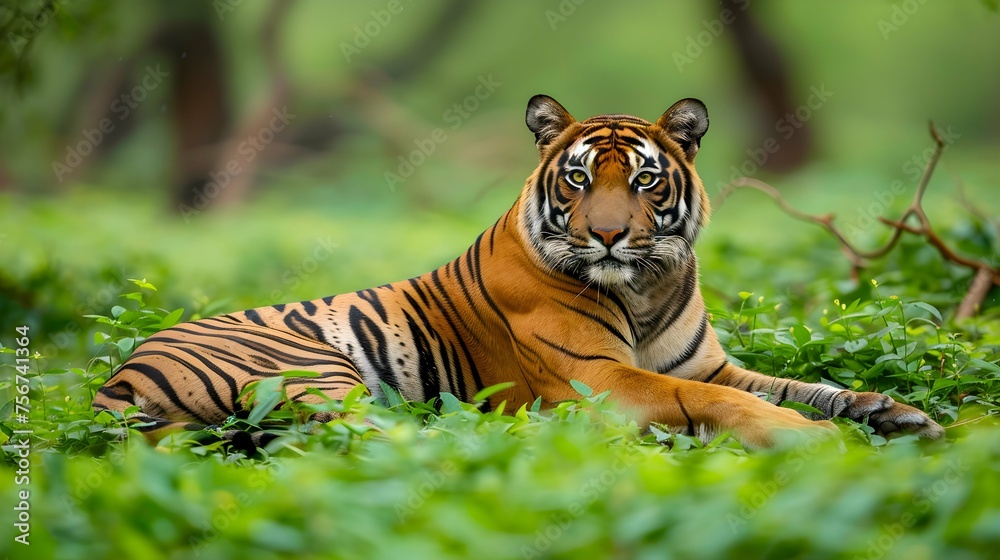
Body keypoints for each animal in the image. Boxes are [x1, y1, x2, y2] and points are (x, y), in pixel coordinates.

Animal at [93, 94, 945, 449]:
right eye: (577, 179)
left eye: (644, 180)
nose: (608, 236)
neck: (648, 285)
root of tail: (119, 372)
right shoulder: (598, 378)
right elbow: (715, 400)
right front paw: (806, 436)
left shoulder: (711, 365)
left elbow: (803, 384)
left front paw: (896, 414)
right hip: (312, 371)